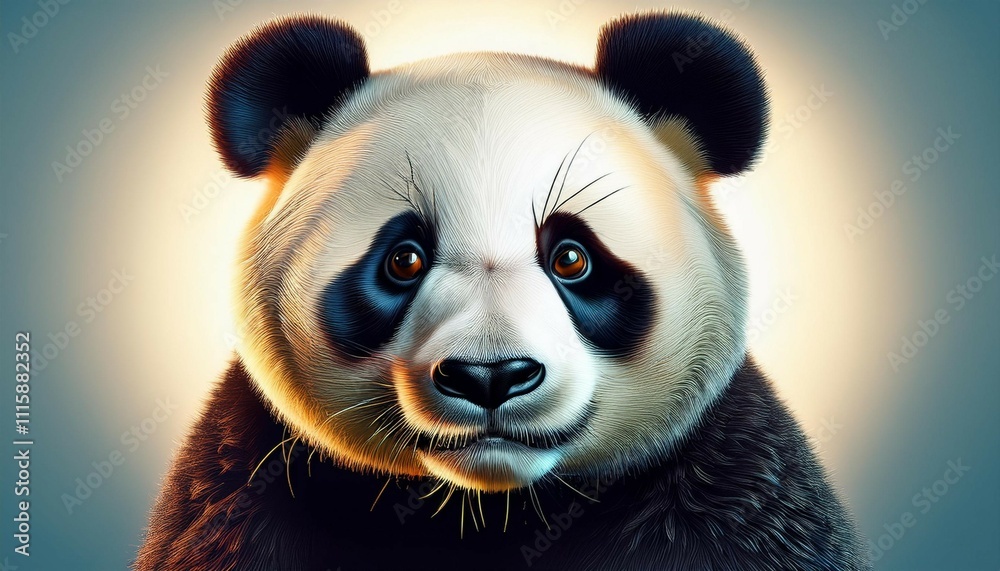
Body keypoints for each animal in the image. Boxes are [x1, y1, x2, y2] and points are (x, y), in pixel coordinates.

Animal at [136, 11, 869, 571]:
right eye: (403, 259)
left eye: (571, 257)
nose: (489, 375)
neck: (491, 509)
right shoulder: (255, 489)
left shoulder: (726, 486)